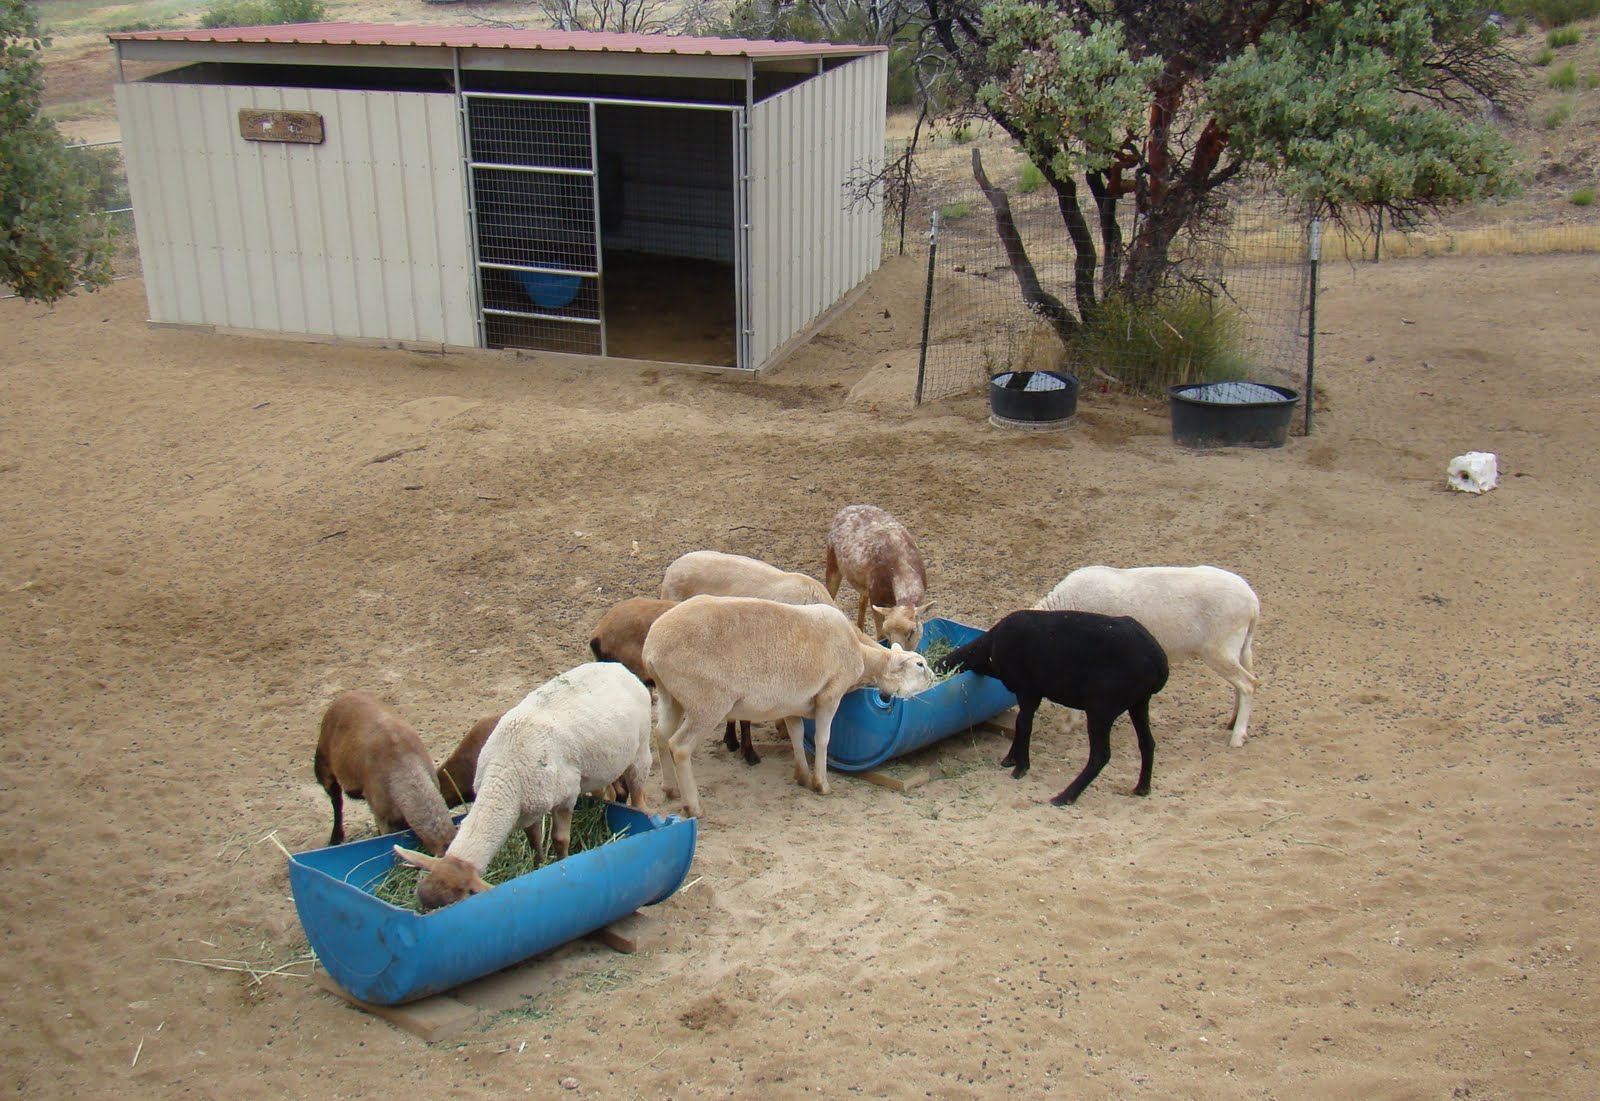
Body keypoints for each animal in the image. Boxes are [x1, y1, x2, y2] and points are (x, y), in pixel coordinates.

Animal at [393, 662, 653, 912]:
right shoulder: (529, 807)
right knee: (611, 787)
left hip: (641, 747)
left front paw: (562, 864)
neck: (503, 775)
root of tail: (619, 667)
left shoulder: (566, 795)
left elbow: (560, 840)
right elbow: (534, 840)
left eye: (456, 902)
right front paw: (538, 866)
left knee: (639, 790)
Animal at [642, 594, 936, 819]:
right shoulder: (830, 695)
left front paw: (802, 775)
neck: (861, 657)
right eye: (920, 664)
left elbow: (796, 733)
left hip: (672, 696)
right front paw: (821, 783)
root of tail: (651, 649)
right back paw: (694, 806)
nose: (935, 677)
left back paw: (670, 789)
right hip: (707, 702)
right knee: (680, 746)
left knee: (660, 735)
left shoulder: (793, 703)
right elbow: (823, 739)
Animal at [824, 504, 933, 650]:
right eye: (888, 632)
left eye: (912, 631)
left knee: (861, 601)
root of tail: (850, 507)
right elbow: (880, 636)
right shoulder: (877, 598)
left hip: (864, 582)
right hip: (832, 560)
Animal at [934, 610, 1169, 806]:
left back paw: (1065, 797)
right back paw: (1142, 788)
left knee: (1100, 755)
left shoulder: (1028, 690)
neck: (990, 650)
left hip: (1102, 707)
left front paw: (1020, 767)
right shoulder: (1030, 693)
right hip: (1139, 702)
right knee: (1147, 743)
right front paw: (1011, 759)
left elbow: (1024, 724)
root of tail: (1158, 661)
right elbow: (1021, 723)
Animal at [1035, 565, 1260, 746]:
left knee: (1247, 684)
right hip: (1239, 648)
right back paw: (1232, 723)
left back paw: (1237, 737)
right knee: (1242, 684)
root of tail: (1253, 602)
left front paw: (1067, 725)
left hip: (1219, 649)